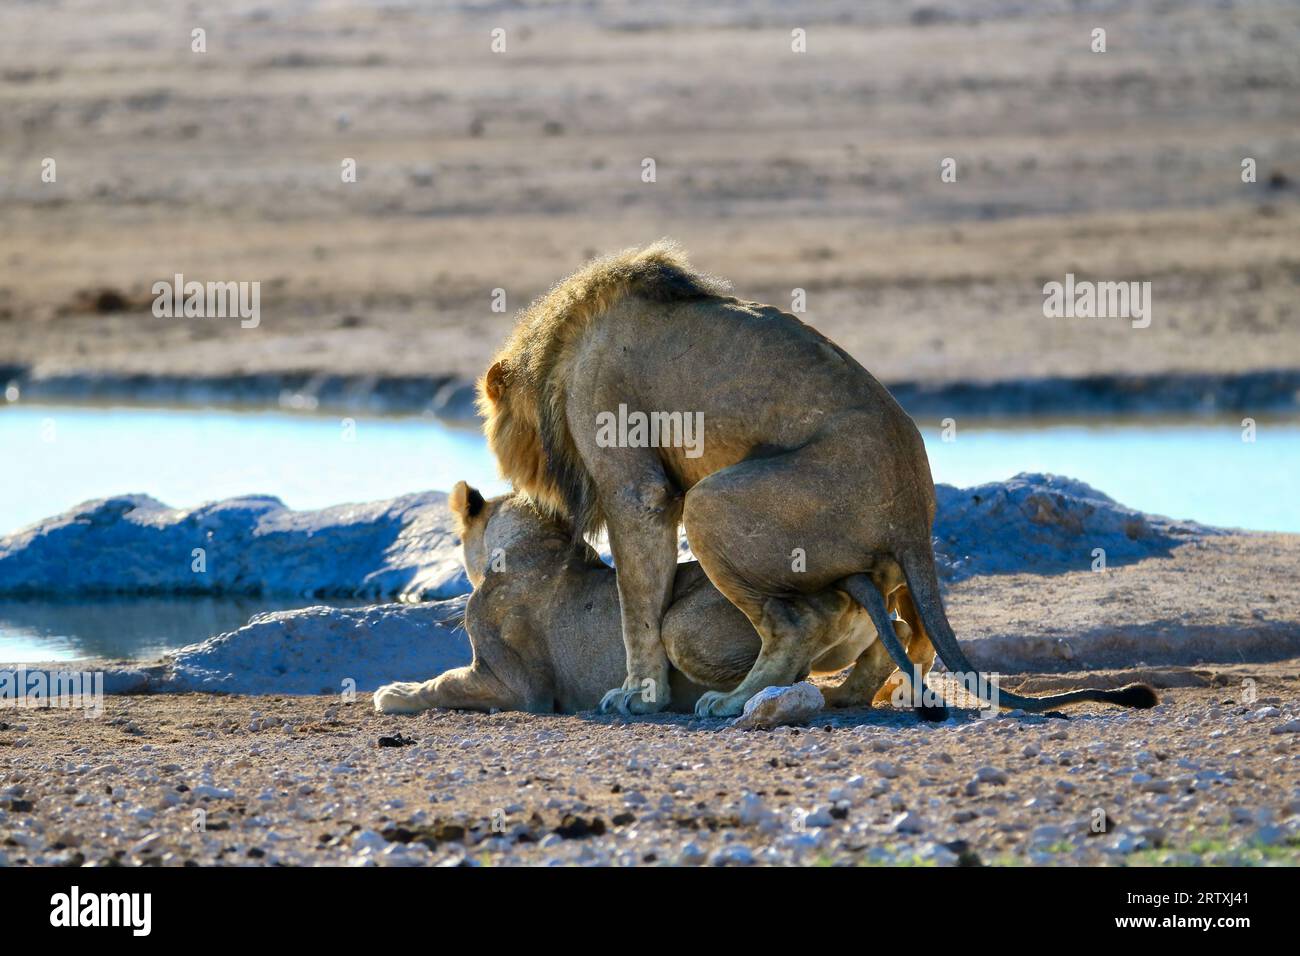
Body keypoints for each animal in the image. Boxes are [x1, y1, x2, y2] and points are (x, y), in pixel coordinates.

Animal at [476, 240, 1158, 718]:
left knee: (798, 623)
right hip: (882, 564)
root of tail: (914, 511)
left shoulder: (633, 483)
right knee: (908, 631)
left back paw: (735, 702)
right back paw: (847, 695)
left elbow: (636, 604)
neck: (564, 347)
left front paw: (638, 696)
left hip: (713, 503)